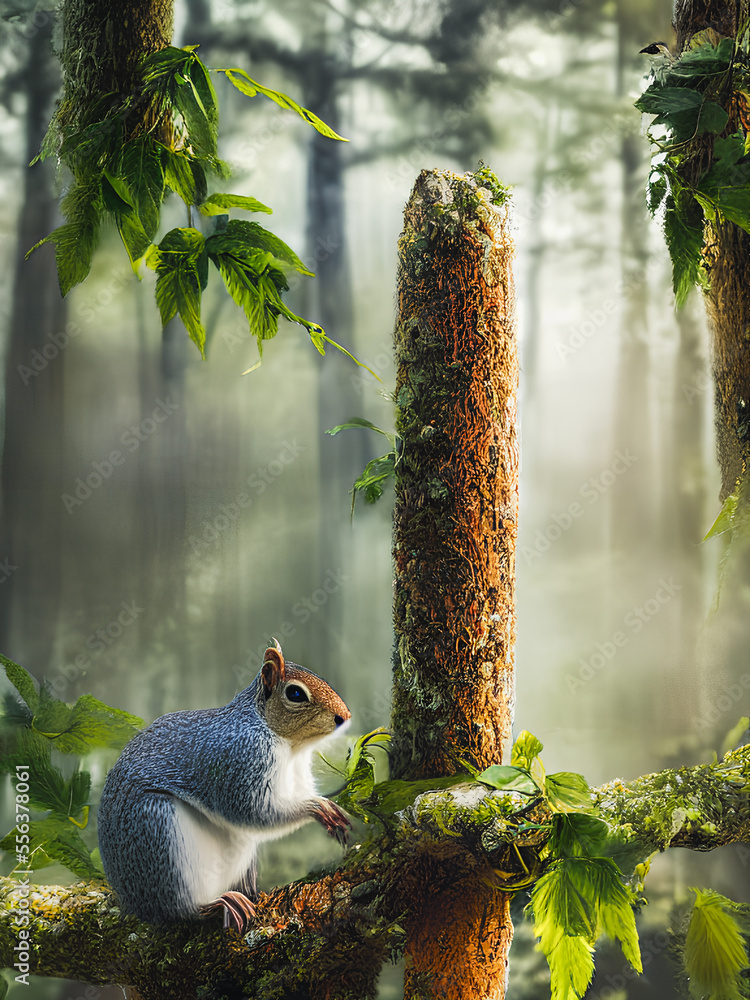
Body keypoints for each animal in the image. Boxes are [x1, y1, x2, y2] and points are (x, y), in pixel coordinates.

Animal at [97, 640, 351, 932]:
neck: (290, 746)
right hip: (156, 832)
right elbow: (255, 811)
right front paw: (316, 807)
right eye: (296, 693)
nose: (345, 716)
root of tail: (130, 903)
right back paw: (215, 905)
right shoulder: (240, 761)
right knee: (178, 910)